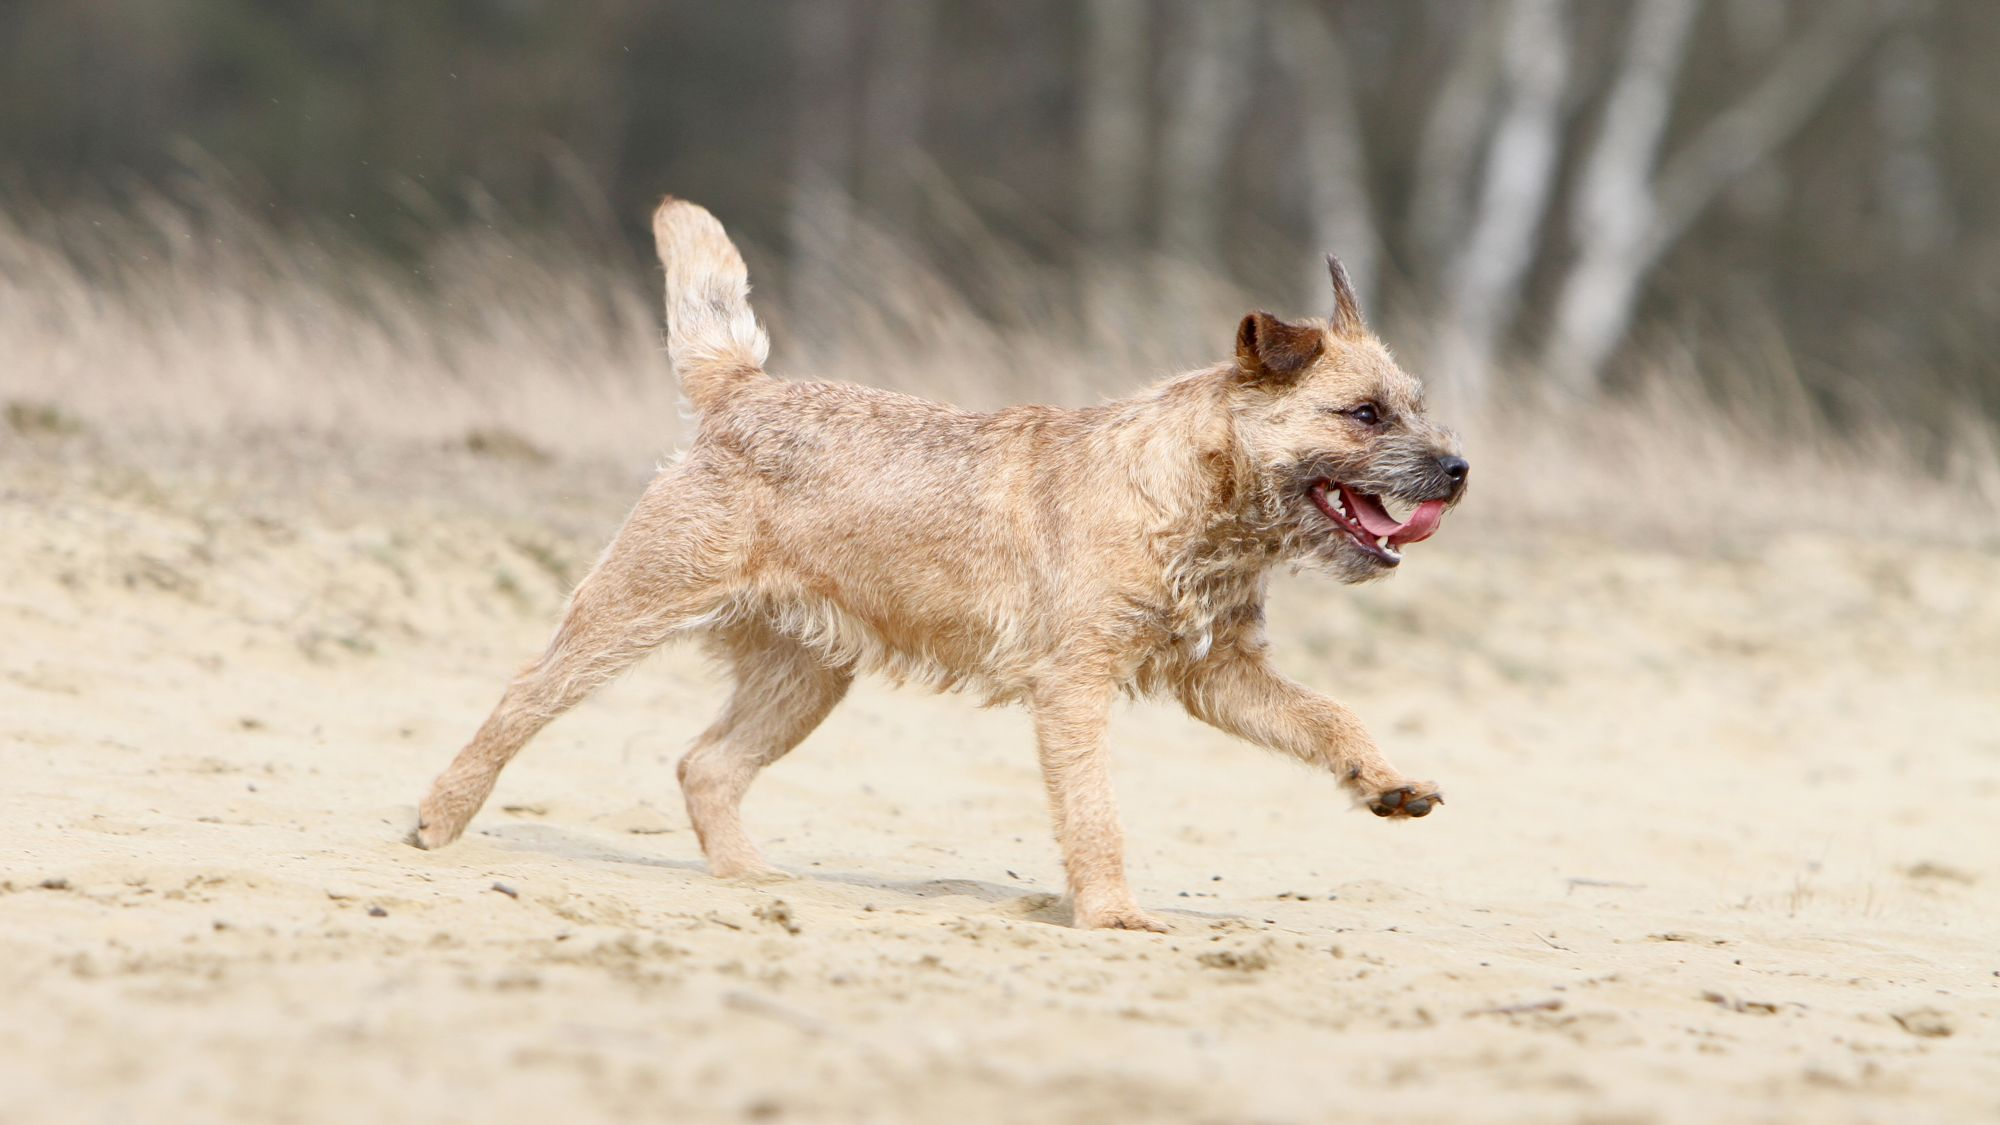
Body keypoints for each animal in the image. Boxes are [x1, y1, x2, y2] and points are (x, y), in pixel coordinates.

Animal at [410, 199, 1472, 928]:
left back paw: (752, 880)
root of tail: (740, 391)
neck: (1189, 500)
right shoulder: (1075, 686)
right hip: (629, 608)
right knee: (522, 700)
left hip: (807, 675)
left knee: (705, 763)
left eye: (1416, 405)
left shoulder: (1221, 674)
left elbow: (1330, 714)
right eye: (1364, 414)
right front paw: (1113, 913)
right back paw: (437, 819)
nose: (1459, 470)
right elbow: (1094, 810)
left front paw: (1386, 781)